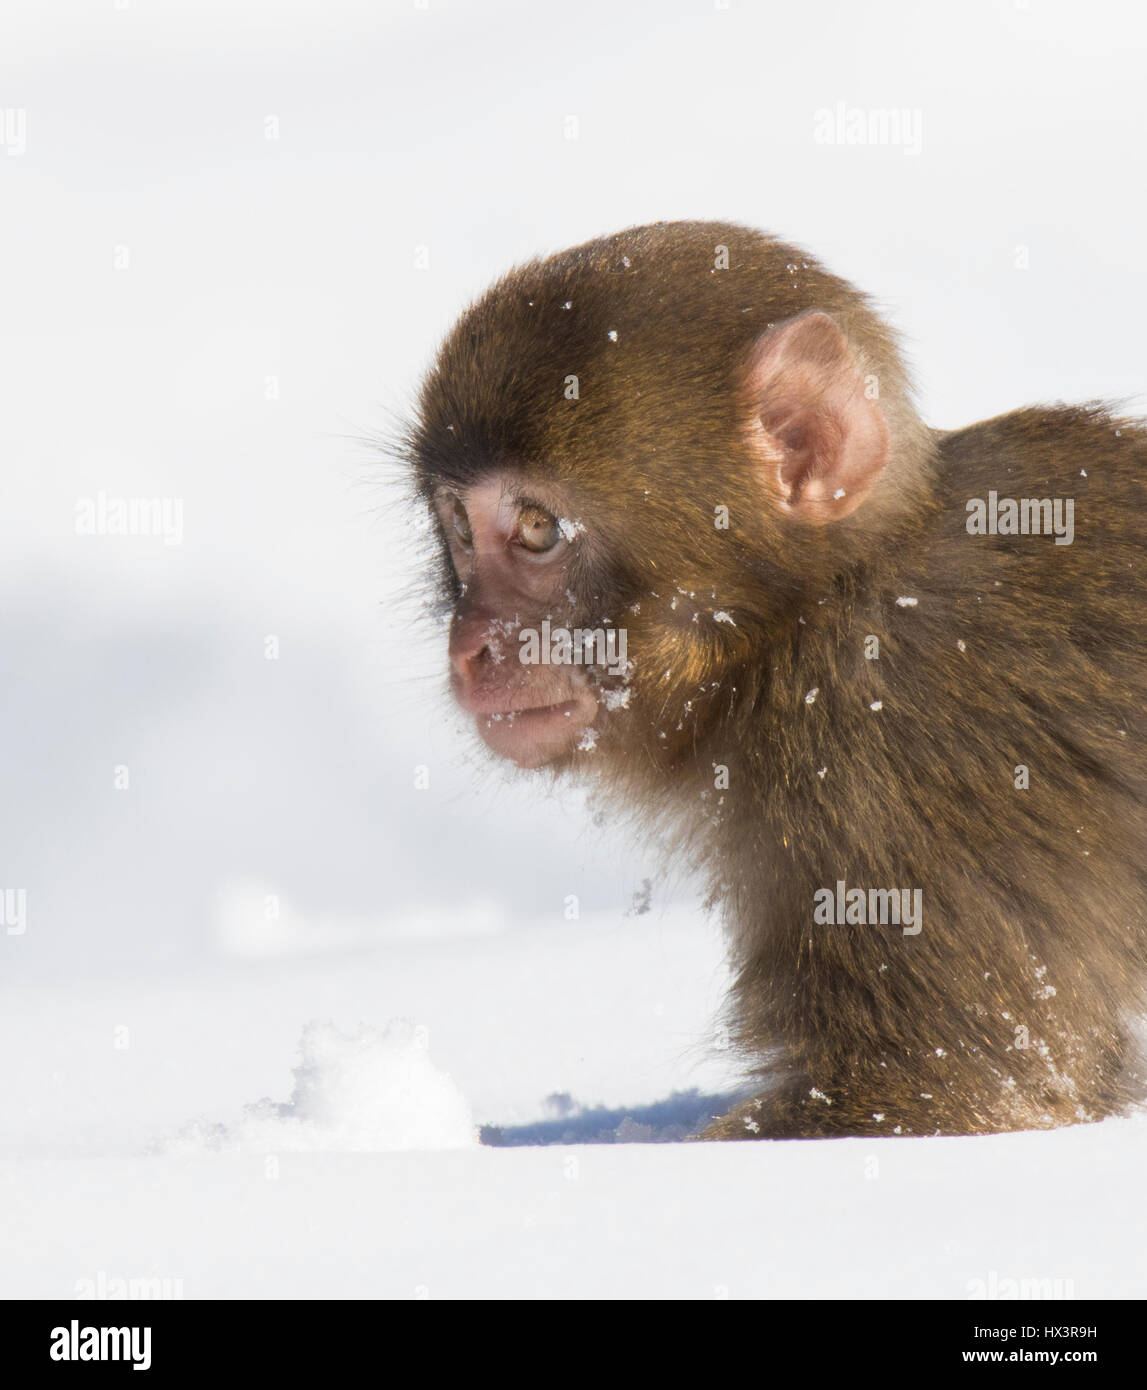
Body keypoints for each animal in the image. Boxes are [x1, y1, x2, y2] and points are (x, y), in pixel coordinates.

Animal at [402, 220, 1147, 1139]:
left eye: (537, 528)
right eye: (459, 528)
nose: (467, 646)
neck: (809, 614)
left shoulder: (870, 774)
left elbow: (948, 1090)